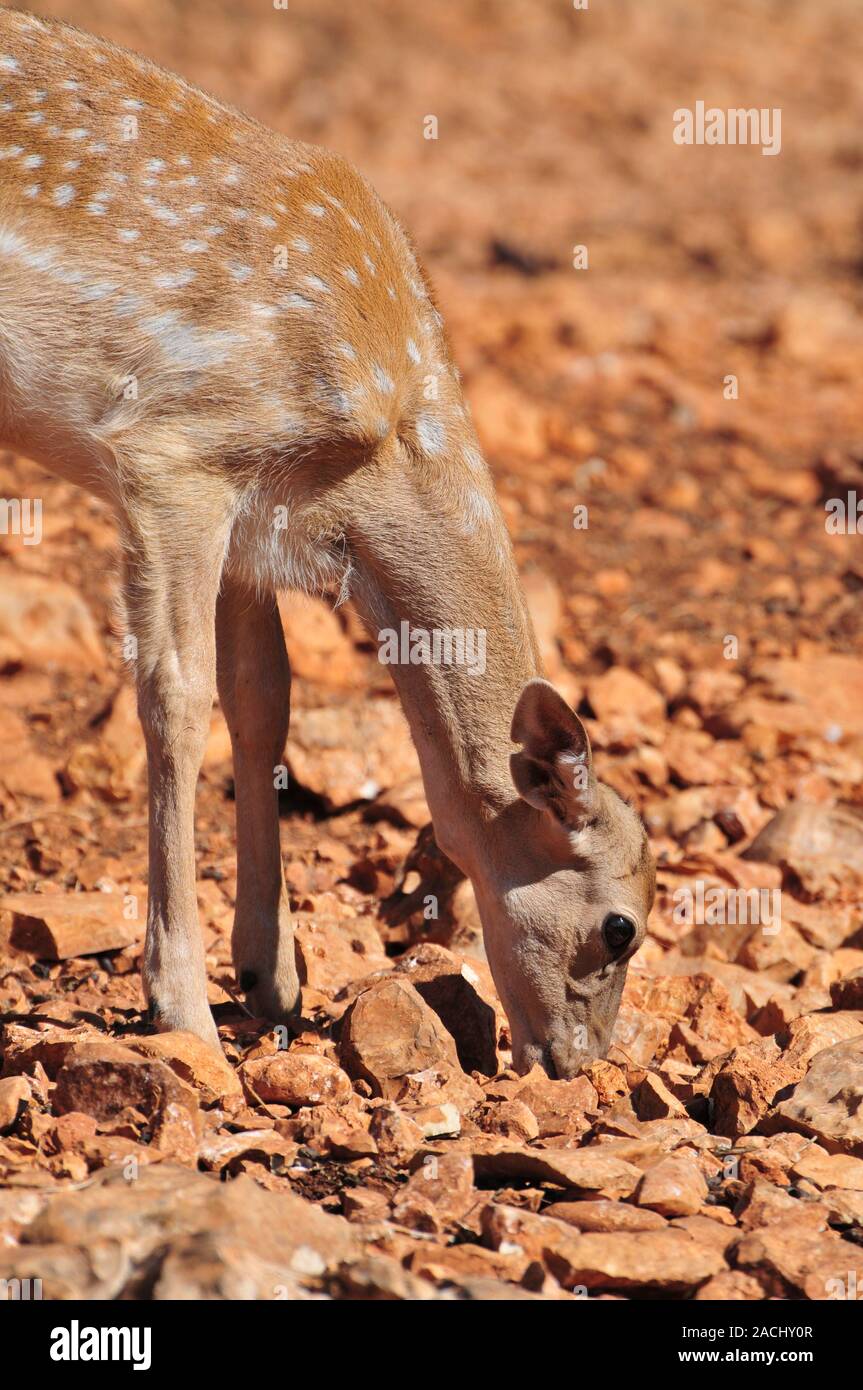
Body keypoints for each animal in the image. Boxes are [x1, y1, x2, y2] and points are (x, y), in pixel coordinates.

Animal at [0, 9, 655, 1078]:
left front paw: (274, 977)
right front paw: (182, 1010)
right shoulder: (170, 456)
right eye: (619, 927)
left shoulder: (251, 519)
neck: (364, 472)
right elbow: (177, 697)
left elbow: (263, 699)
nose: (576, 1065)